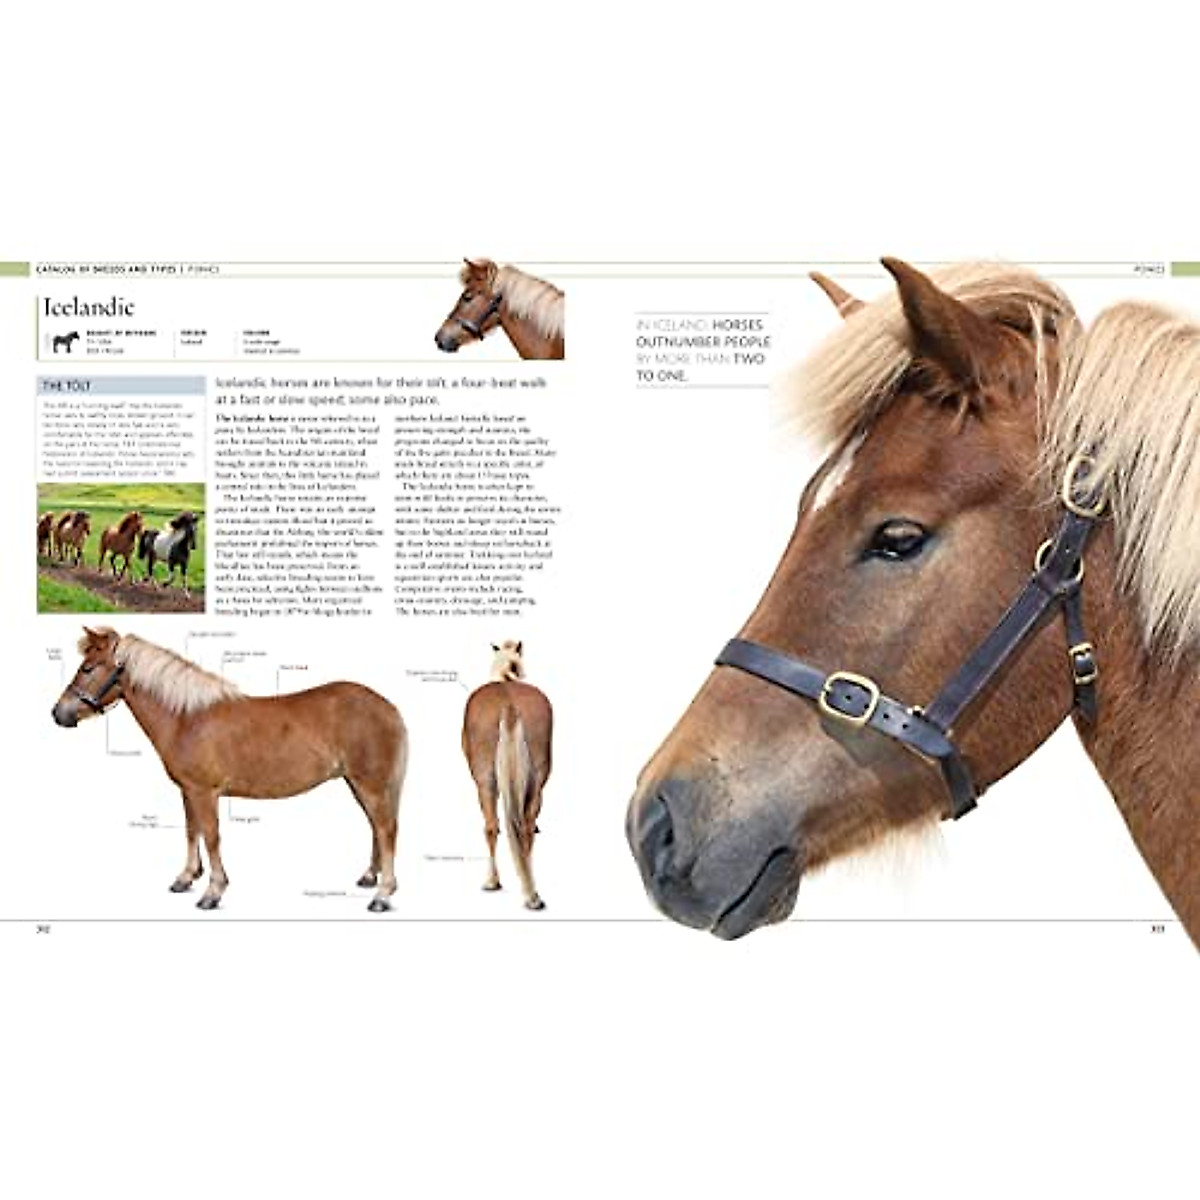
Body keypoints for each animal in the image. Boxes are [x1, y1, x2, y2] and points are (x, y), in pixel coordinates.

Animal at [52, 627, 409, 913]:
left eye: (87, 668)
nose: (58, 713)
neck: (186, 718)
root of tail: (388, 707)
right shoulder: (188, 791)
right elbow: (191, 831)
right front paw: (186, 878)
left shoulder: (205, 792)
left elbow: (211, 836)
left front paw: (212, 892)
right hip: (357, 783)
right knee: (375, 828)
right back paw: (369, 877)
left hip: (370, 784)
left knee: (386, 830)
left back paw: (382, 895)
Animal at [462, 640, 553, 909]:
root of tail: (509, 705)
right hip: (538, 780)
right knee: (526, 826)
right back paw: (530, 889)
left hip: (485, 782)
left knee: (491, 827)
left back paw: (492, 882)